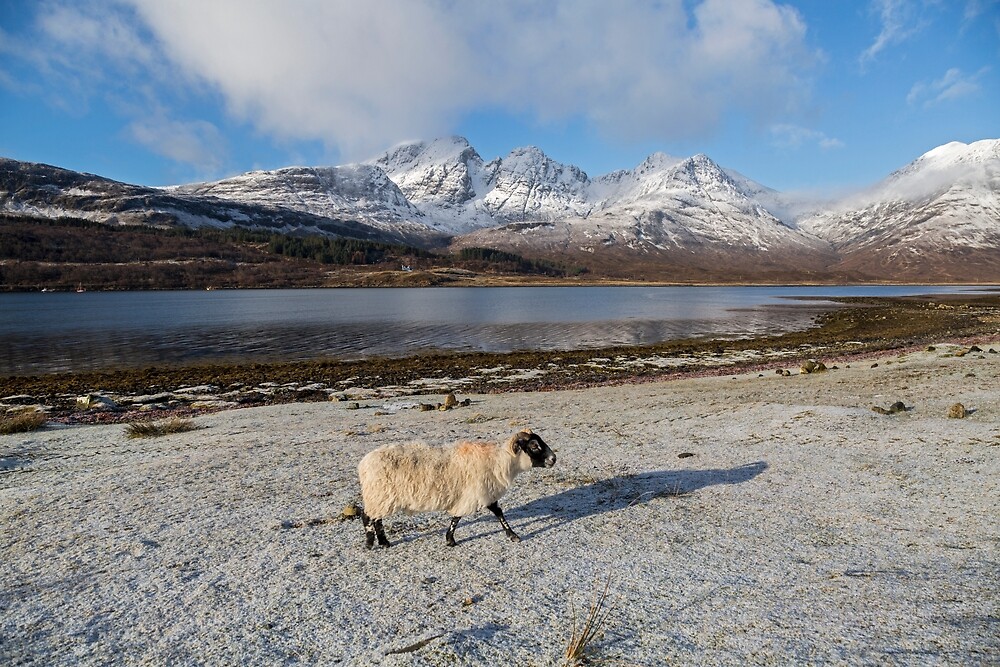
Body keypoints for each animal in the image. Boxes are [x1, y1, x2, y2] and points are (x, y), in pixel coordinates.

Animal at [357, 430, 556, 549]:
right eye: (534, 446)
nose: (553, 459)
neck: (500, 461)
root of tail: (364, 464)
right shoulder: (475, 493)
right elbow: (459, 517)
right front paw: (450, 540)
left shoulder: (485, 493)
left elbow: (497, 512)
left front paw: (512, 534)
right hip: (380, 495)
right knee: (368, 517)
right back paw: (372, 542)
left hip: (381, 497)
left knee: (375, 519)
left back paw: (382, 542)